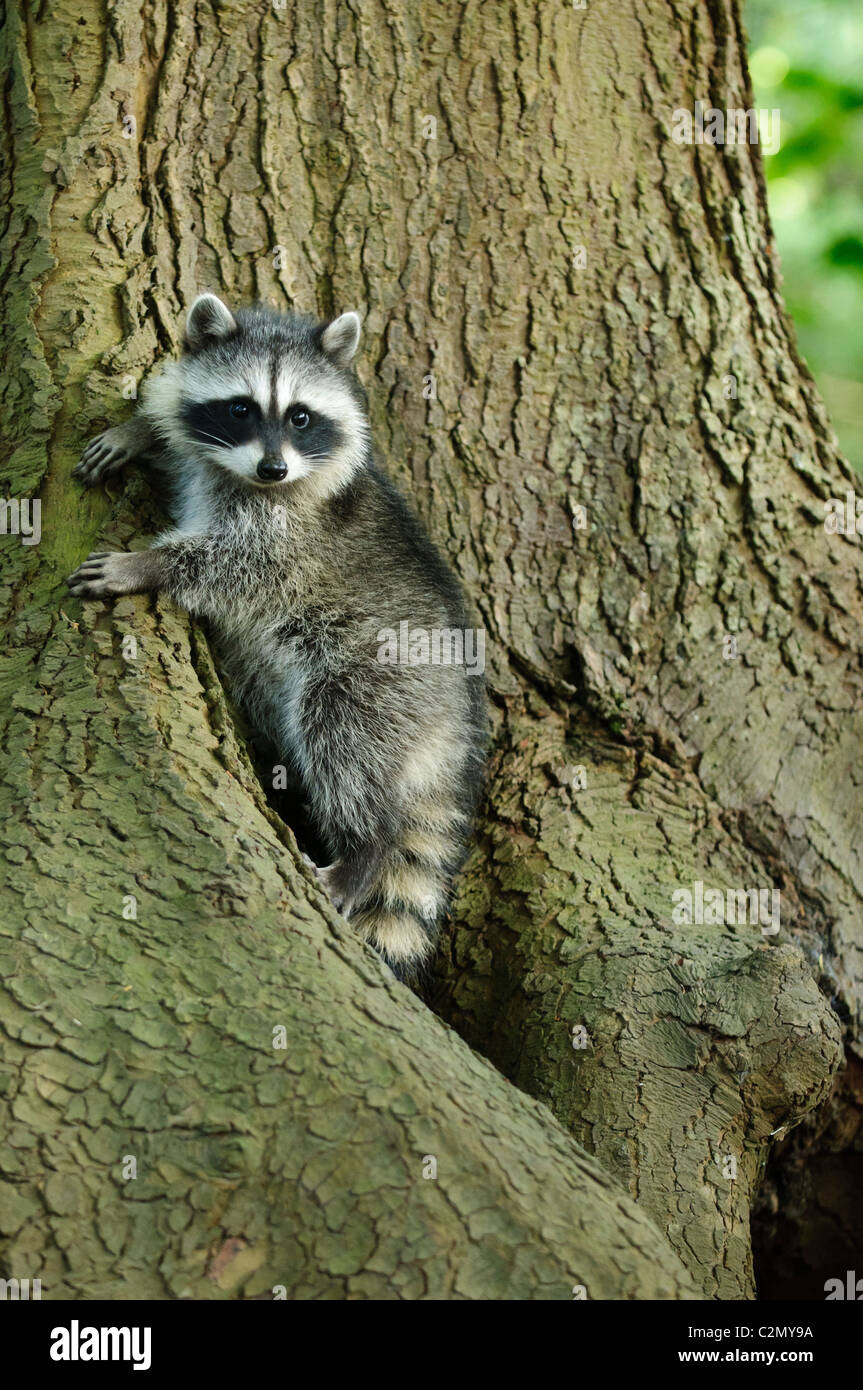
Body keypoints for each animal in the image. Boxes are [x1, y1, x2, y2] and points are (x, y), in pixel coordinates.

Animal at [68, 294, 487, 981]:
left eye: (300, 416)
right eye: (241, 408)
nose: (272, 466)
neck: (246, 477)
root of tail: (458, 721)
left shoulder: (292, 532)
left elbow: (239, 566)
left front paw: (148, 564)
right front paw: (146, 430)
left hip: (384, 677)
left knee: (345, 739)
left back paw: (366, 851)